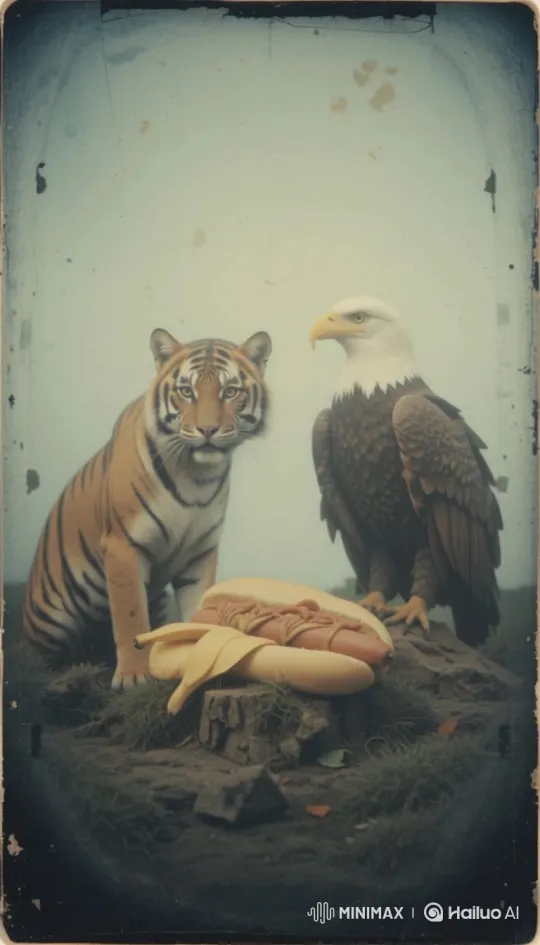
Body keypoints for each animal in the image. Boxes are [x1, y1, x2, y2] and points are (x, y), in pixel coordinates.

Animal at [21, 327, 272, 691]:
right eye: (186, 391)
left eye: (230, 391)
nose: (208, 430)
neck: (196, 475)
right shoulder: (123, 546)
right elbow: (130, 618)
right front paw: (135, 677)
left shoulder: (200, 552)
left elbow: (199, 610)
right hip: (52, 619)